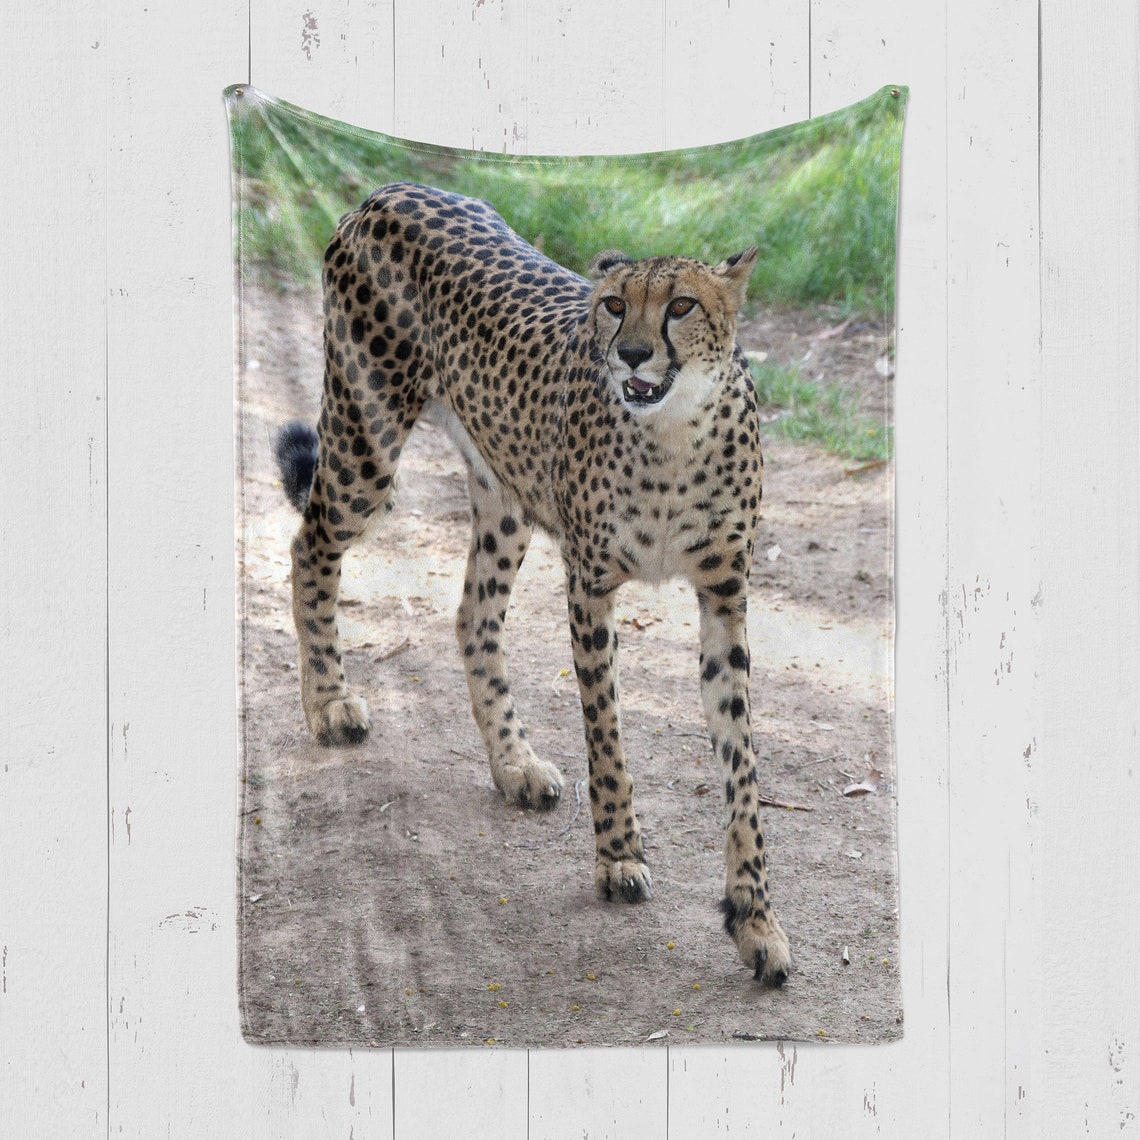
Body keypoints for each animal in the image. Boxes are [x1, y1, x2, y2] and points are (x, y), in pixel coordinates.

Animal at [275, 181, 791, 984]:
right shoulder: (591, 585)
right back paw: (329, 701)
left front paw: (755, 919)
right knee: (310, 543)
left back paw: (513, 763)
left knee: (472, 618)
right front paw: (619, 858)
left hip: (503, 493)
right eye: (612, 304)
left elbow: (742, 771)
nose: (631, 351)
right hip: (367, 443)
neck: (675, 437)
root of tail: (390, 191)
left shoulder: (724, 596)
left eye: (681, 304)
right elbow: (607, 739)